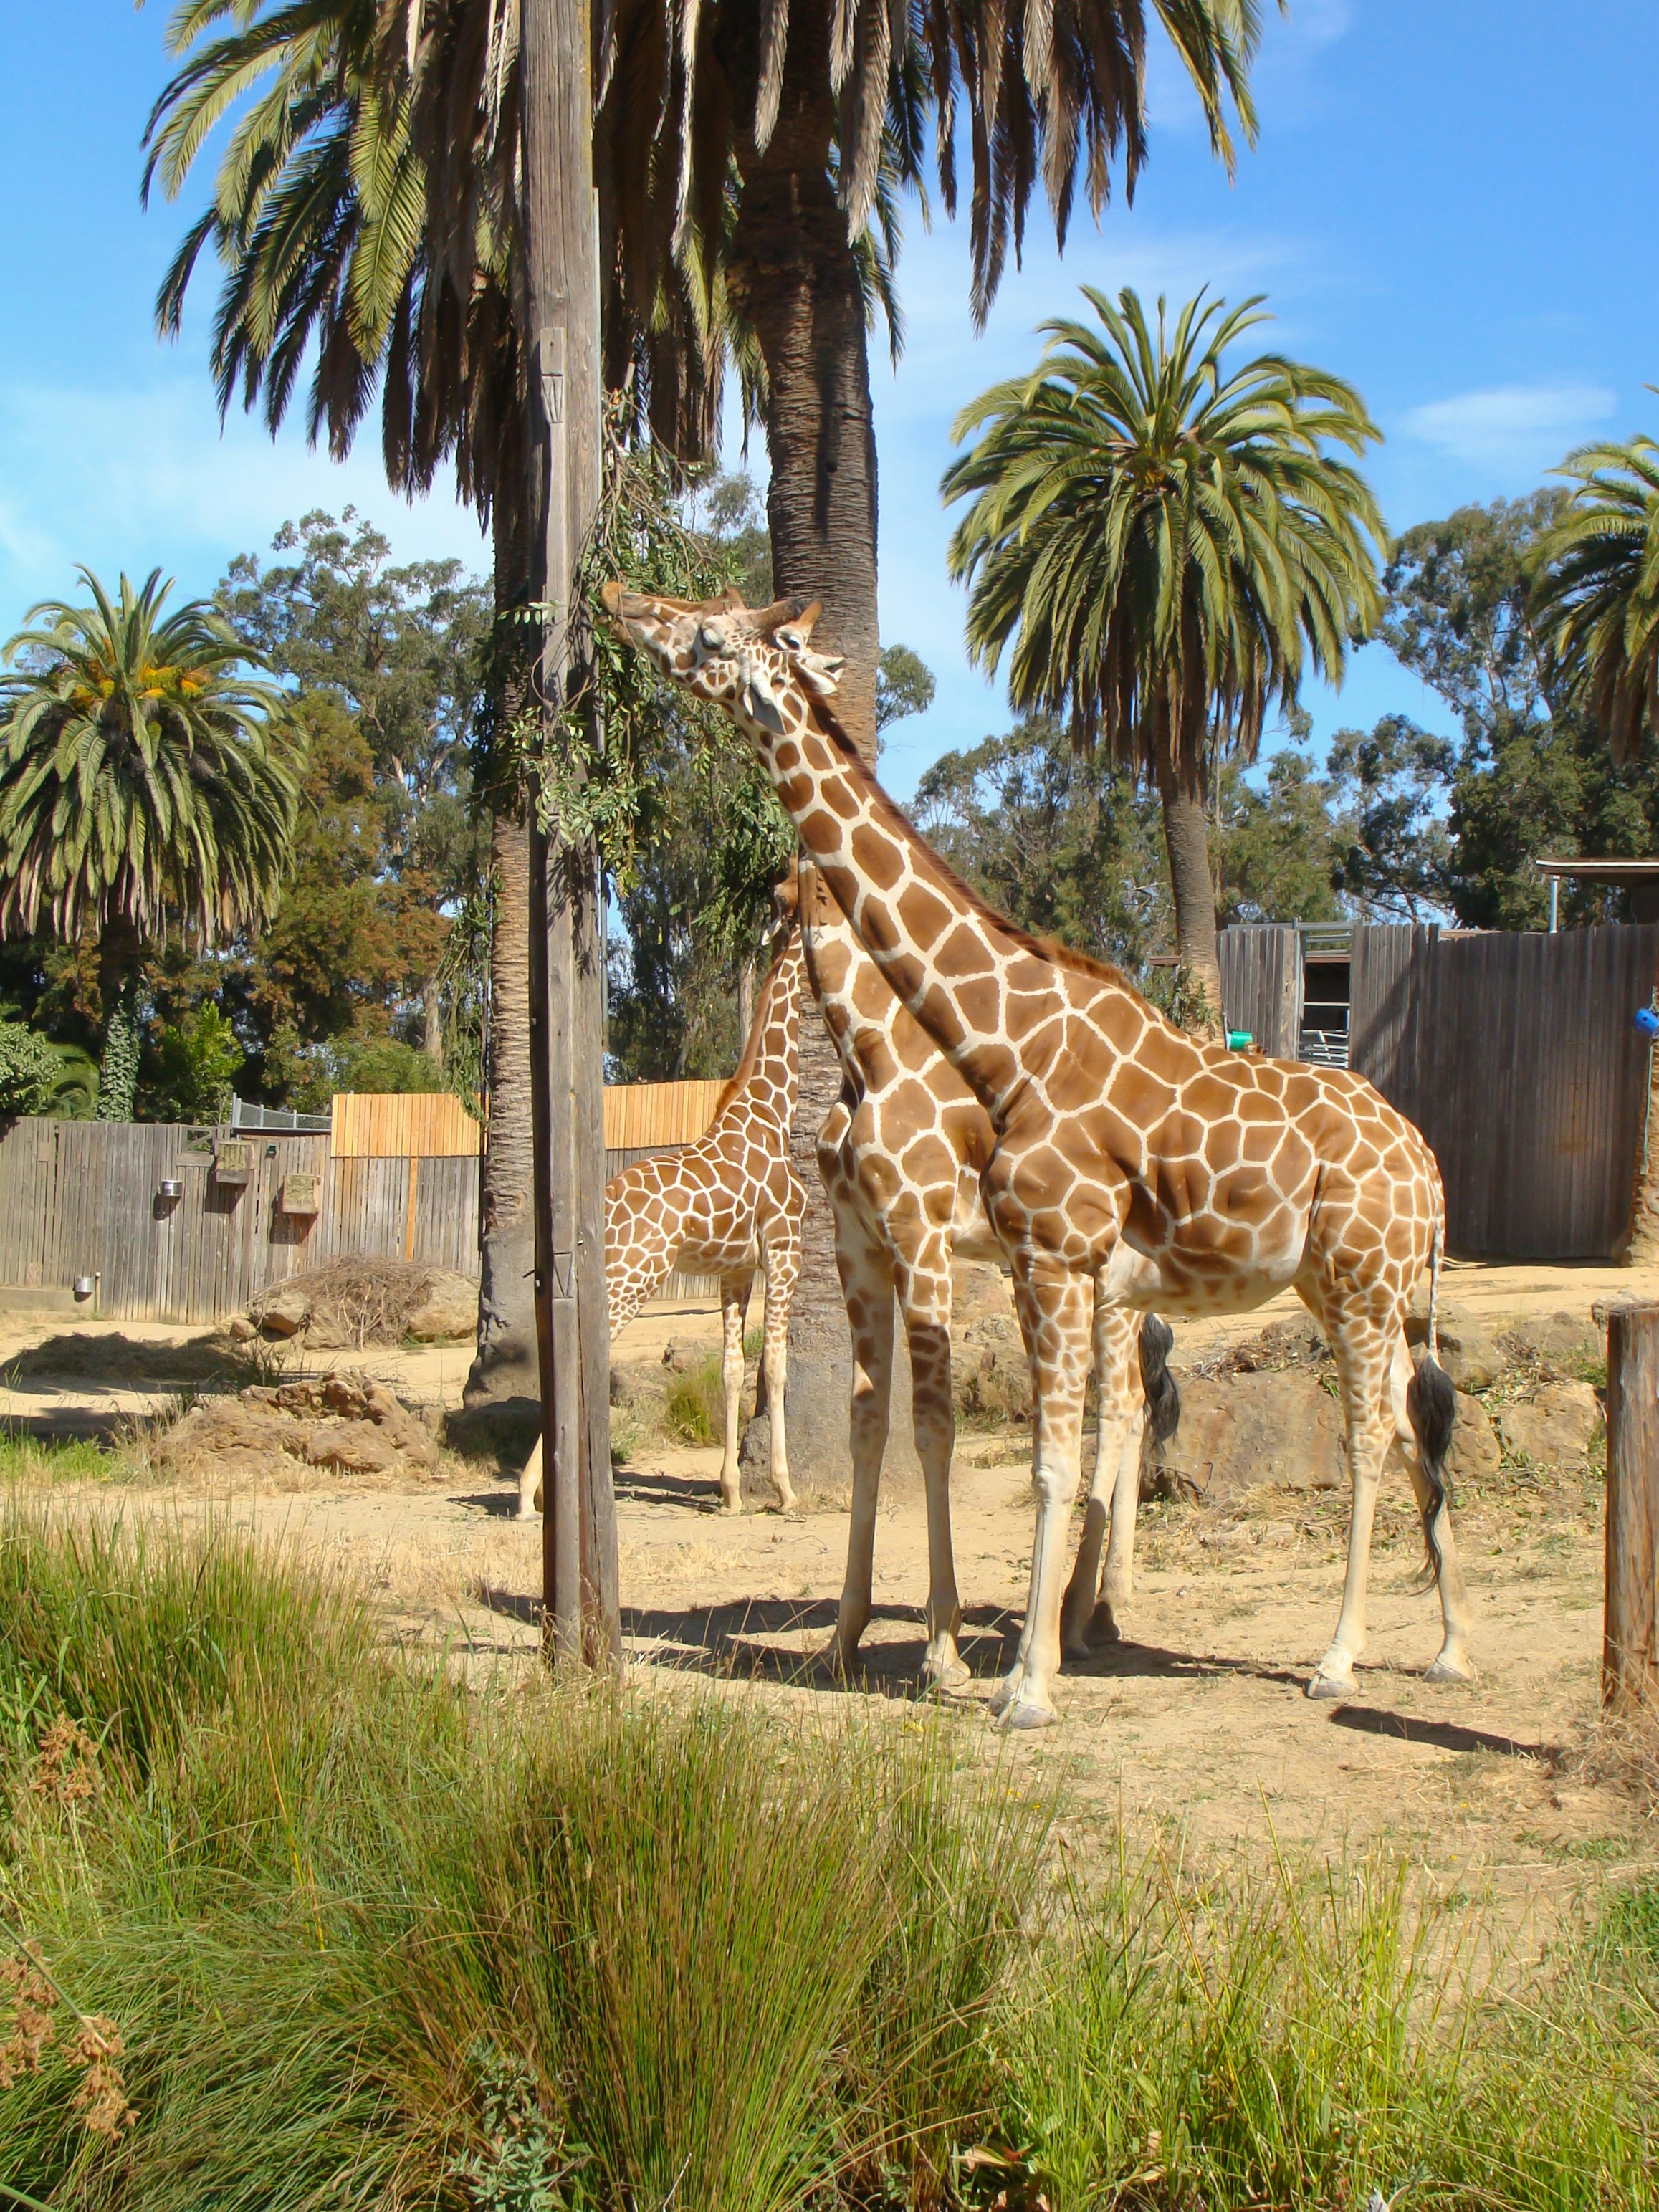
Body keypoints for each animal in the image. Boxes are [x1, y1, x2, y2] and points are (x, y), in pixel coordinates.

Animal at [517, 884, 806, 1519]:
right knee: (586, 1355)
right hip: (632, 1277)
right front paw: (783, 1488)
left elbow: (730, 1368)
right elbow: (774, 1366)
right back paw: (533, 1491)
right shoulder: (784, 1248)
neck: (773, 1109)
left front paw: (730, 1491)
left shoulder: (736, 1268)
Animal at [600, 581, 1473, 1728]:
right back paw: (1447, 1646)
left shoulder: (1021, 1251)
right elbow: (971, 1439)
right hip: (1329, 1284)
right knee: (1409, 1421)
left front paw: (1005, 1679)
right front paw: (919, 1646)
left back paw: (1330, 1657)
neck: (996, 1041)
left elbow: (1037, 1458)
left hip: (1362, 1282)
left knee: (1366, 1432)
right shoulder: (997, 1260)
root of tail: (1428, 1163)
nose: (614, 598)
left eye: (705, 631)